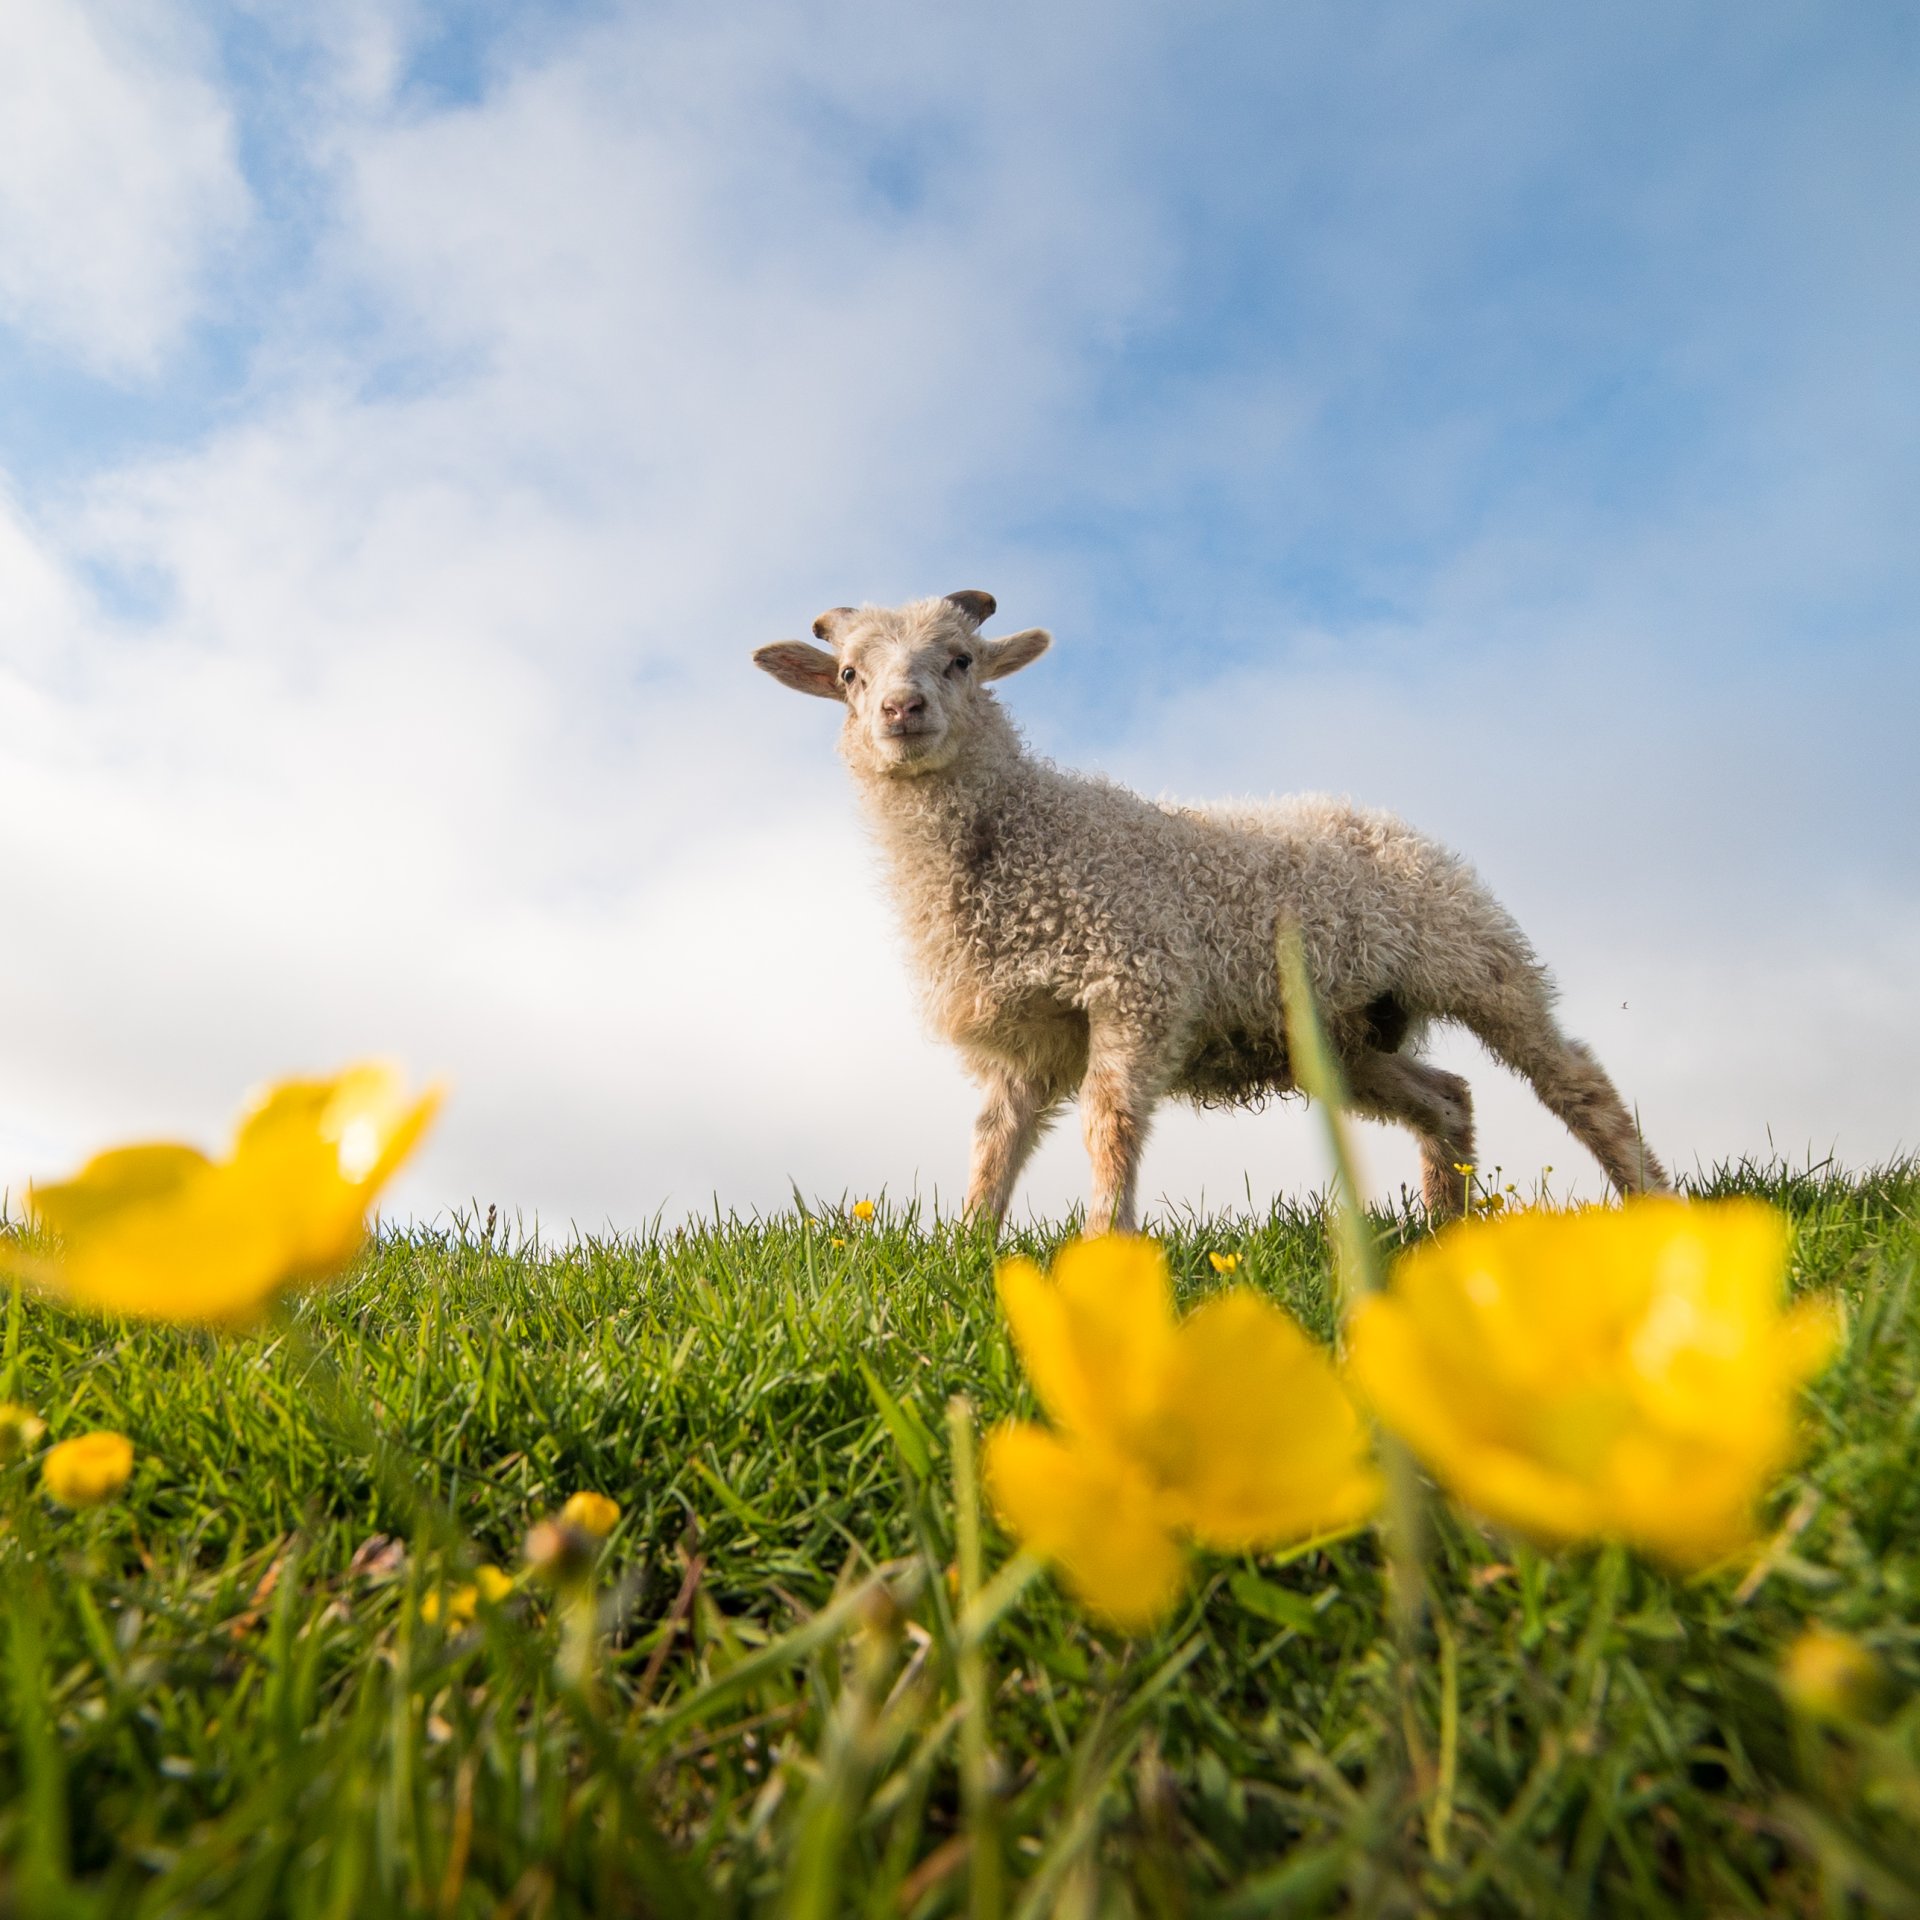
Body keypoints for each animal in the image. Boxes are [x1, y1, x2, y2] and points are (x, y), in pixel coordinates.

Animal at [754, 590, 1668, 1232]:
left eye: (961, 660)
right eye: (848, 675)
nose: (900, 712)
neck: (1021, 840)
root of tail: (1374, 820)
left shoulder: (1135, 988)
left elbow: (1111, 1125)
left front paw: (1106, 1242)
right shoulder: (1019, 1041)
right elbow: (992, 1144)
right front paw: (971, 1244)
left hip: (1479, 963)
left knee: (1576, 1081)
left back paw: (1652, 1195)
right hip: (1341, 1037)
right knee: (1447, 1097)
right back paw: (1445, 1224)